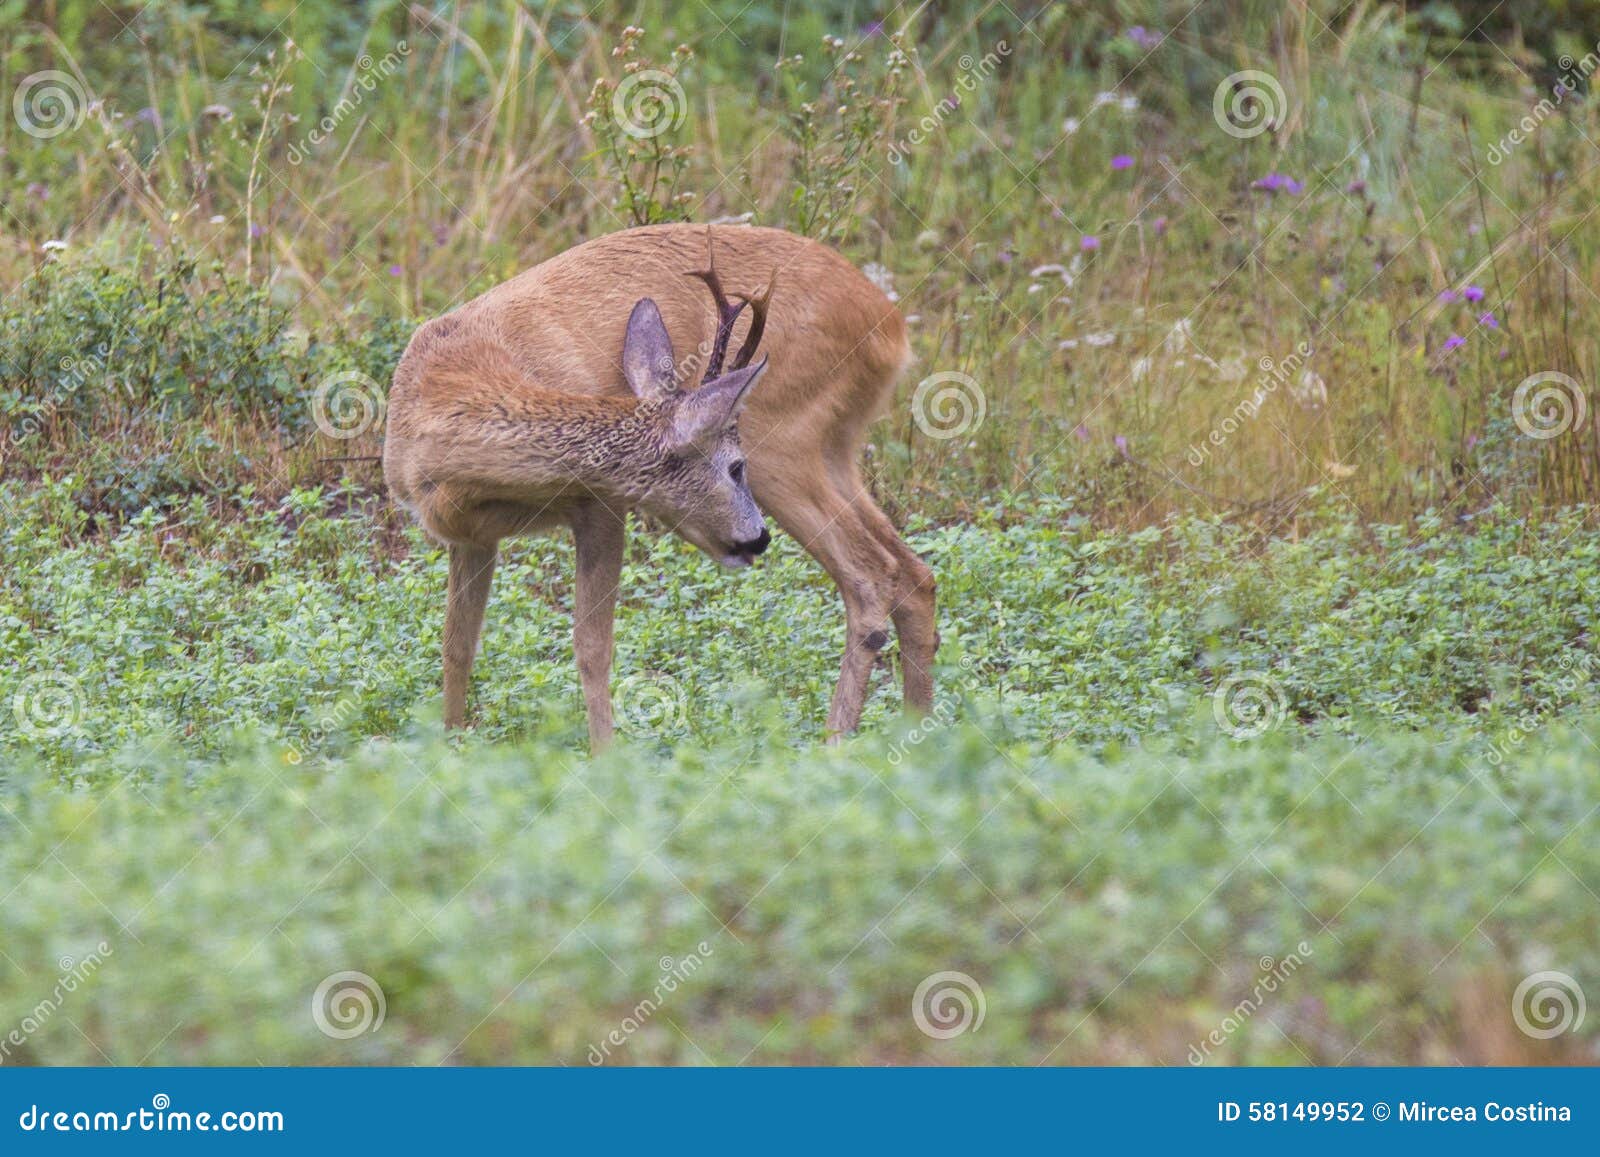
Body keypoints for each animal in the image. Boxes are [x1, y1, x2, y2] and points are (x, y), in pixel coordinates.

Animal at [383, 223, 936, 749]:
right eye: (733, 468)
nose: (758, 538)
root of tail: (889, 323)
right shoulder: (471, 536)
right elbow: (457, 646)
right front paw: (450, 746)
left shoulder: (600, 504)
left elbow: (592, 647)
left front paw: (606, 757)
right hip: (833, 449)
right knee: (914, 573)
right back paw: (918, 733)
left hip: (786, 442)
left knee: (870, 574)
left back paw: (836, 744)